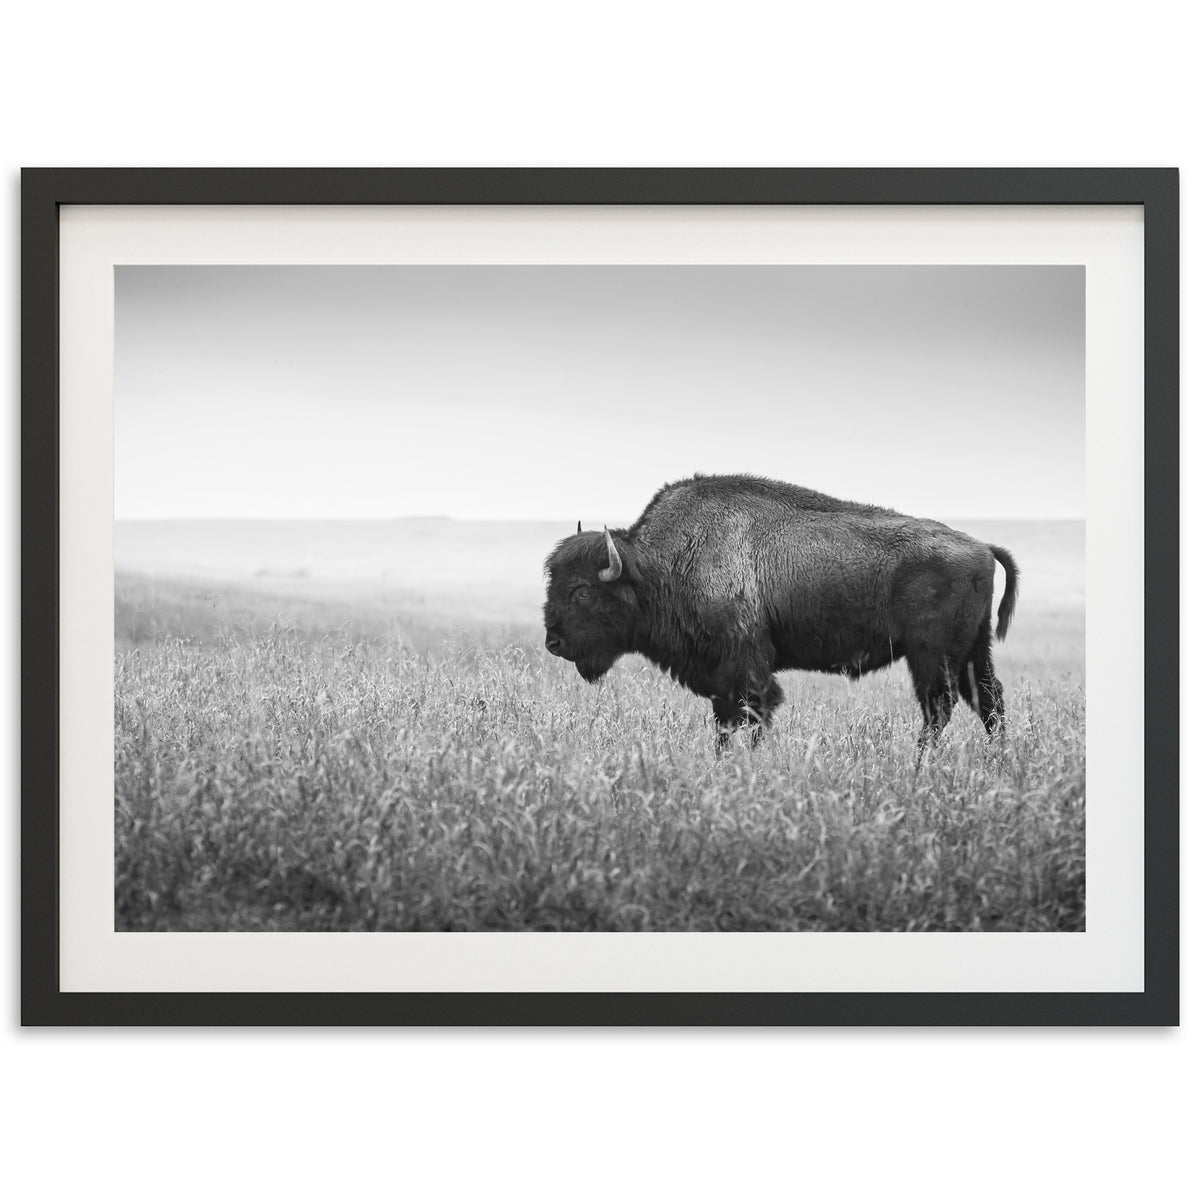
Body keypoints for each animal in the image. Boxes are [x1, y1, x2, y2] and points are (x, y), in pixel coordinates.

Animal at [543, 474, 1018, 755]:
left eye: (583, 591)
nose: (553, 642)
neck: (660, 566)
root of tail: (981, 546)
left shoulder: (746, 670)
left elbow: (753, 715)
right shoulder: (721, 680)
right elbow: (725, 723)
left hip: (931, 656)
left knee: (940, 707)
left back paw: (920, 765)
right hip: (972, 651)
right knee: (988, 701)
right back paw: (997, 762)